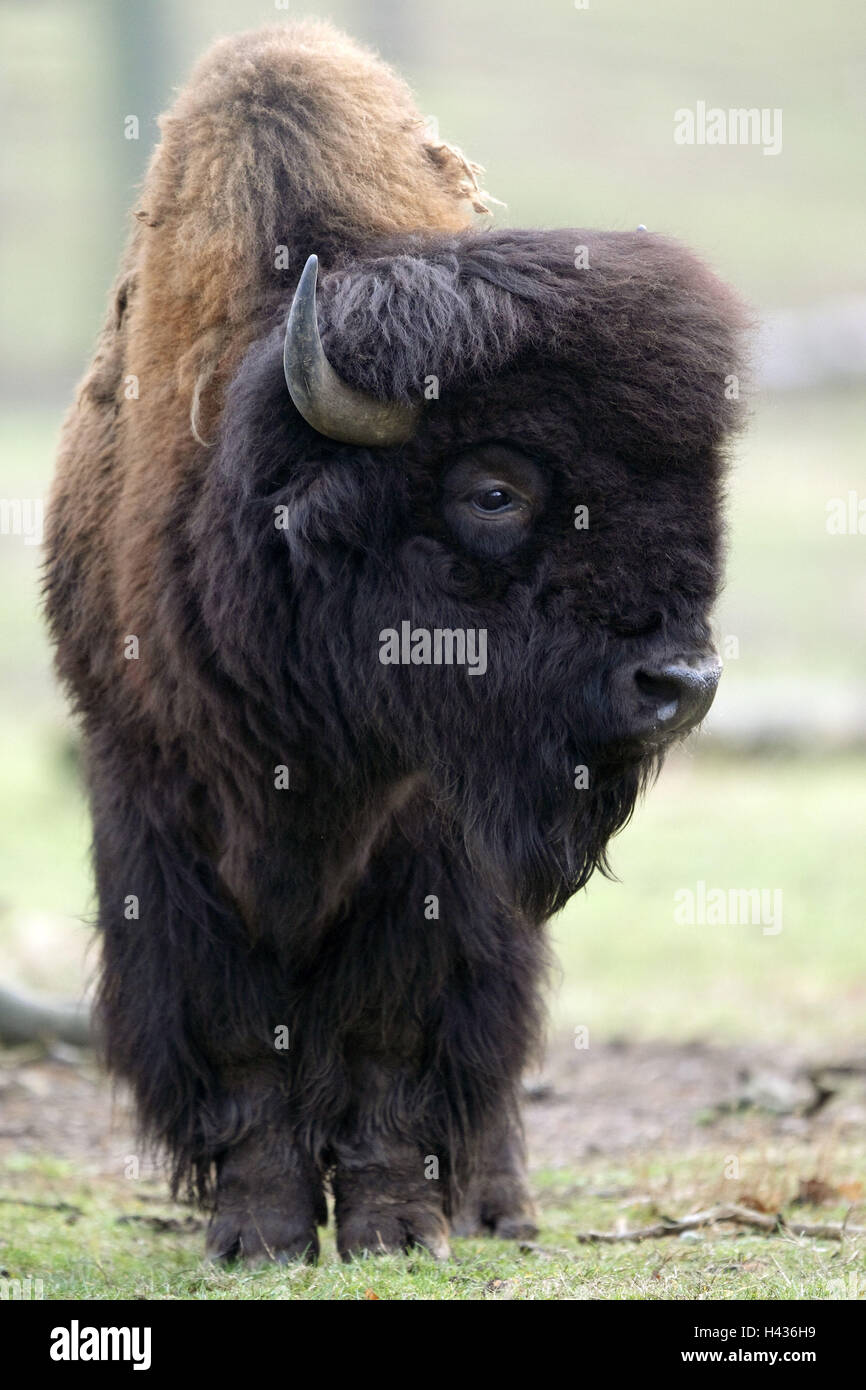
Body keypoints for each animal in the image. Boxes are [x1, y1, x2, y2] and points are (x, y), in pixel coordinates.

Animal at [45, 21, 746, 1261]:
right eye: (493, 488)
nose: (680, 682)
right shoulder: (160, 802)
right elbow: (236, 1030)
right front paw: (259, 1233)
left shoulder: (432, 839)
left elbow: (391, 1033)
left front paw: (394, 1229)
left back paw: (498, 1206)